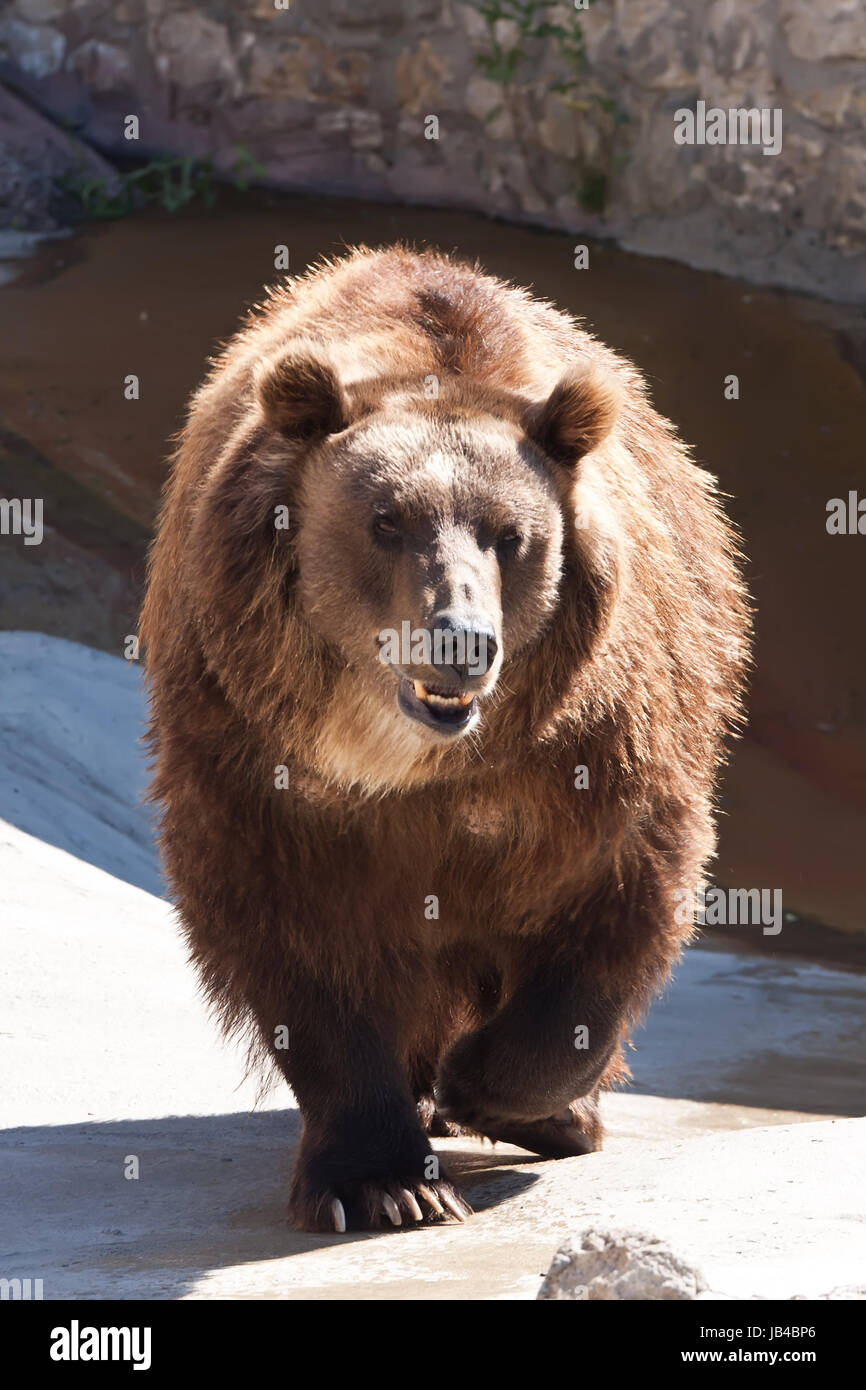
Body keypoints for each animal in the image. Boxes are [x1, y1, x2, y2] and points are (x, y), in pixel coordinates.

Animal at [140, 245, 749, 1233]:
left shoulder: (589, 750)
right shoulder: (251, 759)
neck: (406, 764)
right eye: (386, 520)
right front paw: (381, 1182)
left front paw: (499, 1090)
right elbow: (296, 938)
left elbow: (614, 904)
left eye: (512, 534)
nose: (461, 638)